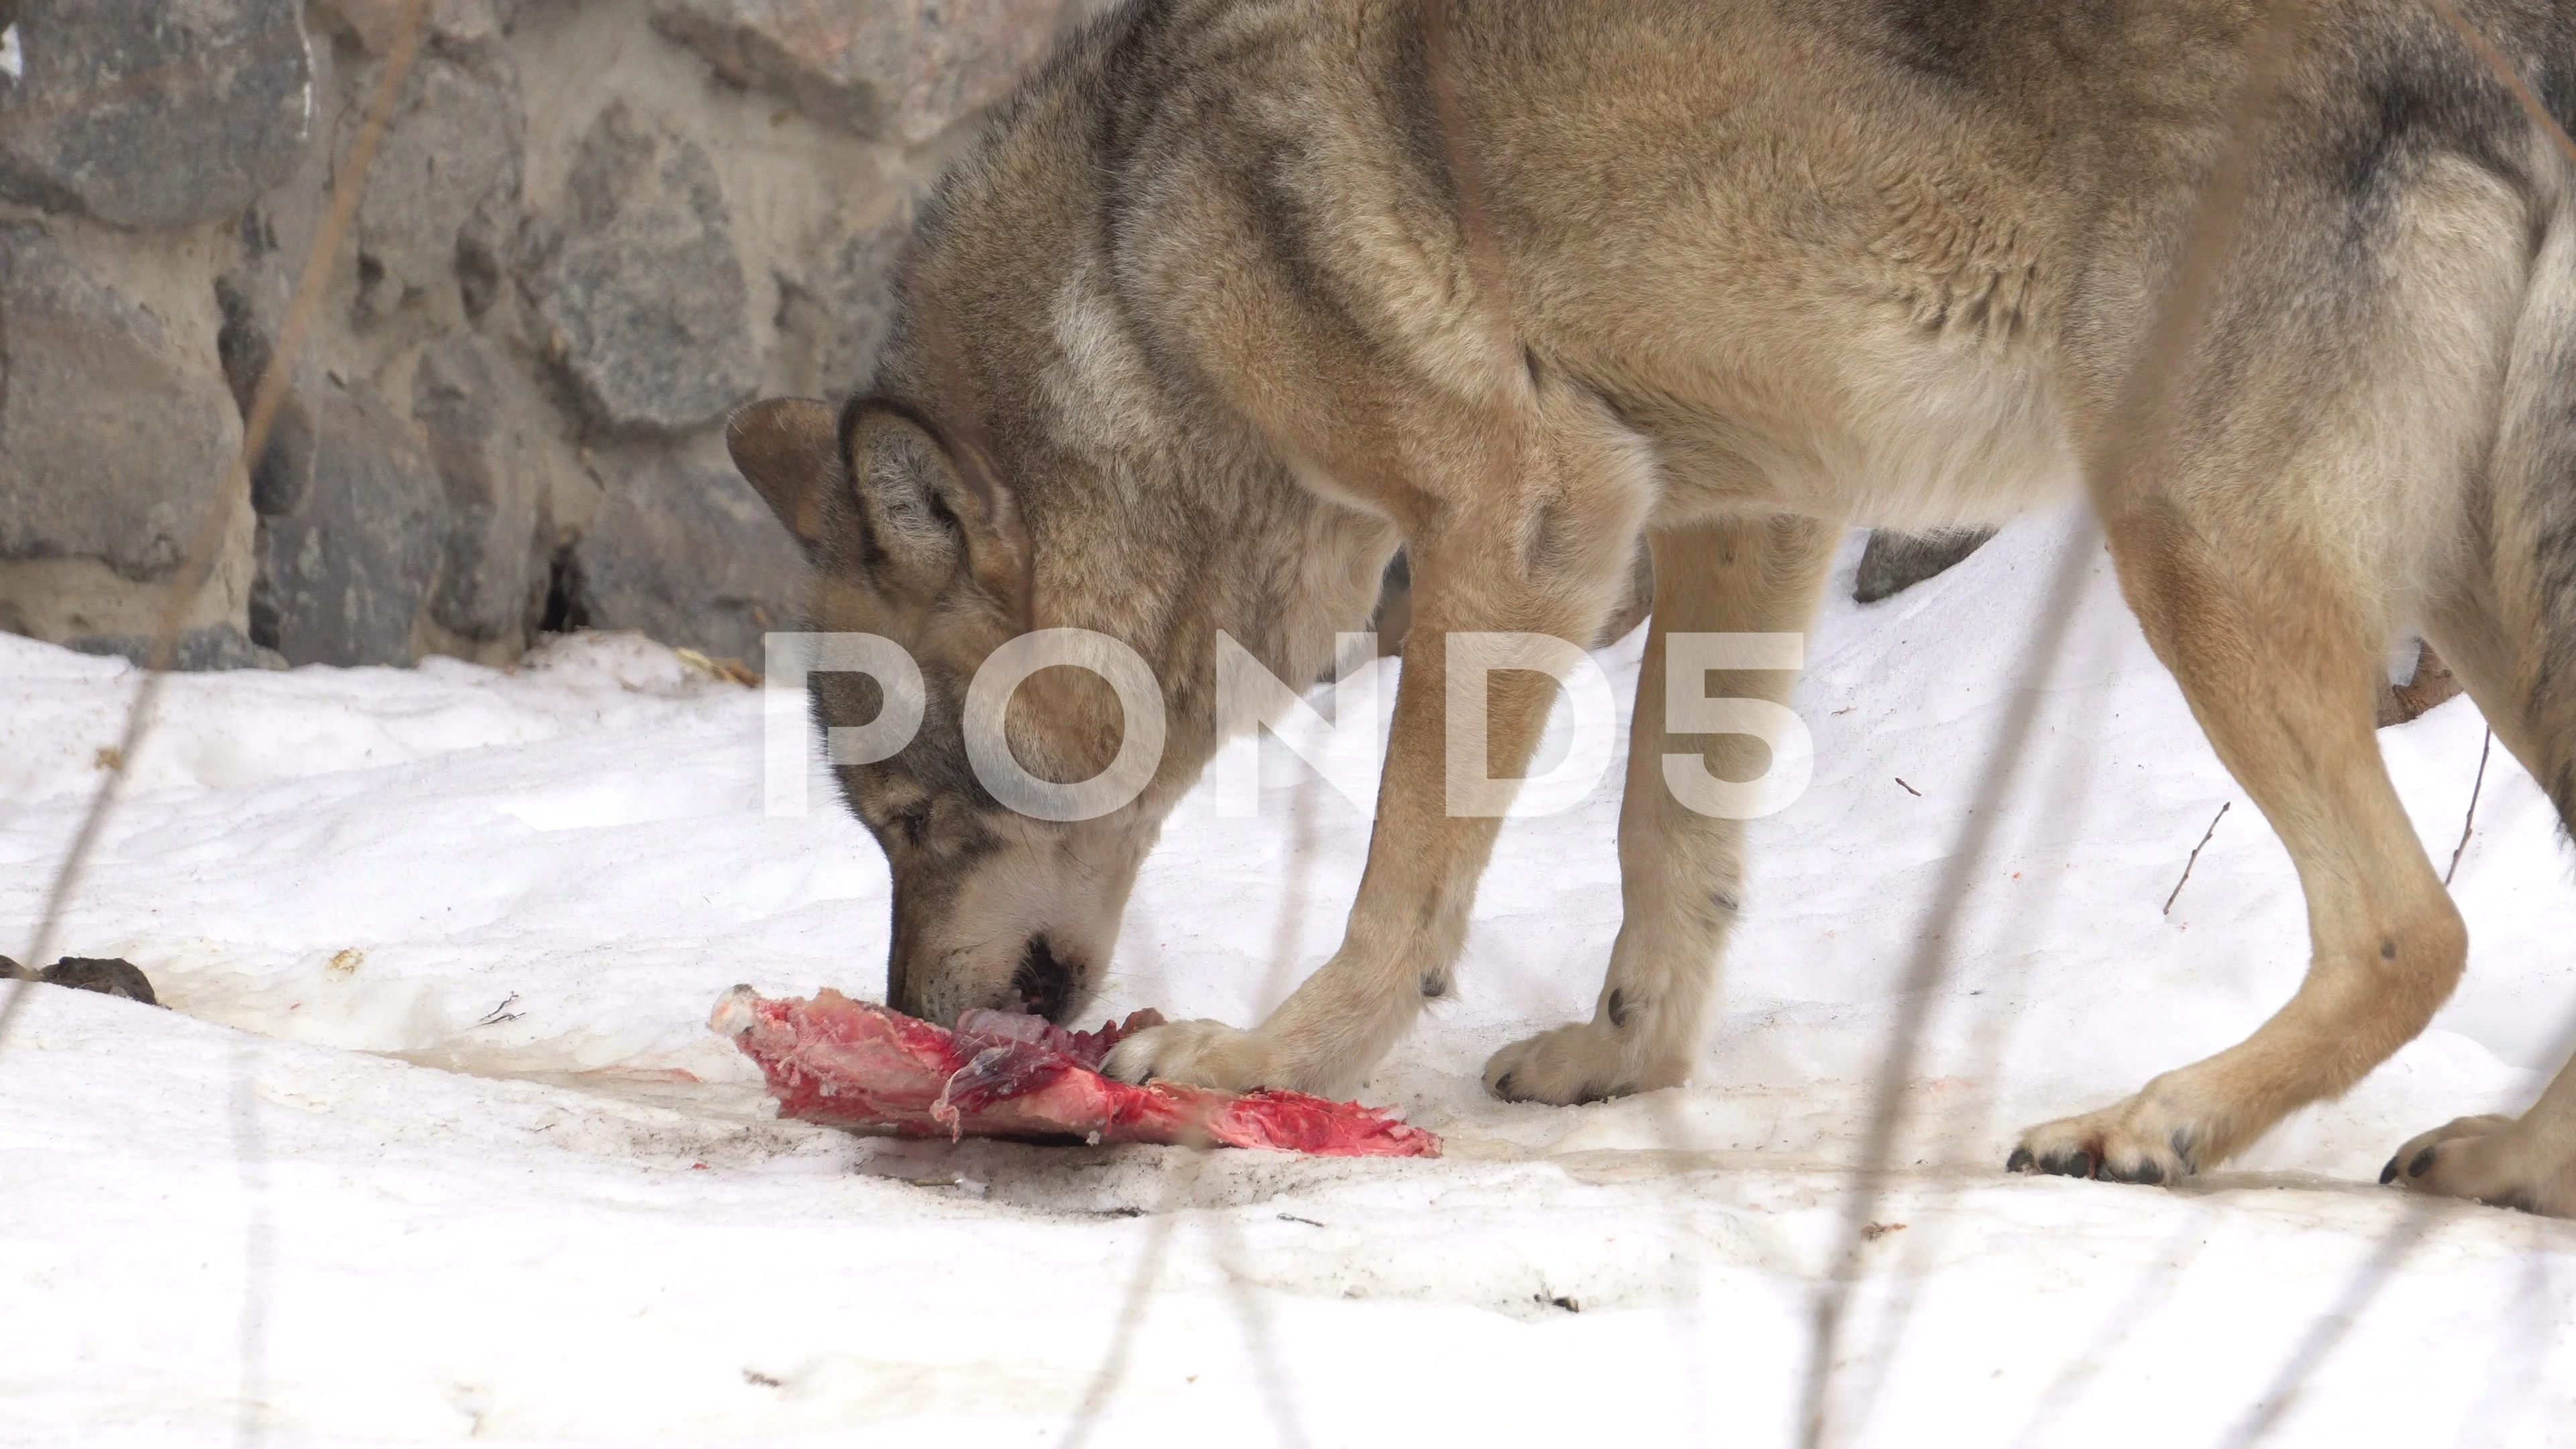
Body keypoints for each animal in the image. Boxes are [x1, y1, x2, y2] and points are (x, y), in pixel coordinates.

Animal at [724, 0, 2576, 1213]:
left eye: (910, 818)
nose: (906, 1015)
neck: (1135, 271)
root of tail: (2490, 92)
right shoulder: (1745, 514)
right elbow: (1666, 836)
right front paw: (1622, 1064)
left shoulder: (1528, 512)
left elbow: (1406, 874)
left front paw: (1270, 1059)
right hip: (2466, 628)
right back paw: (2503, 1164)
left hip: (2195, 569)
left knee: (2414, 930)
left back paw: (2154, 1124)